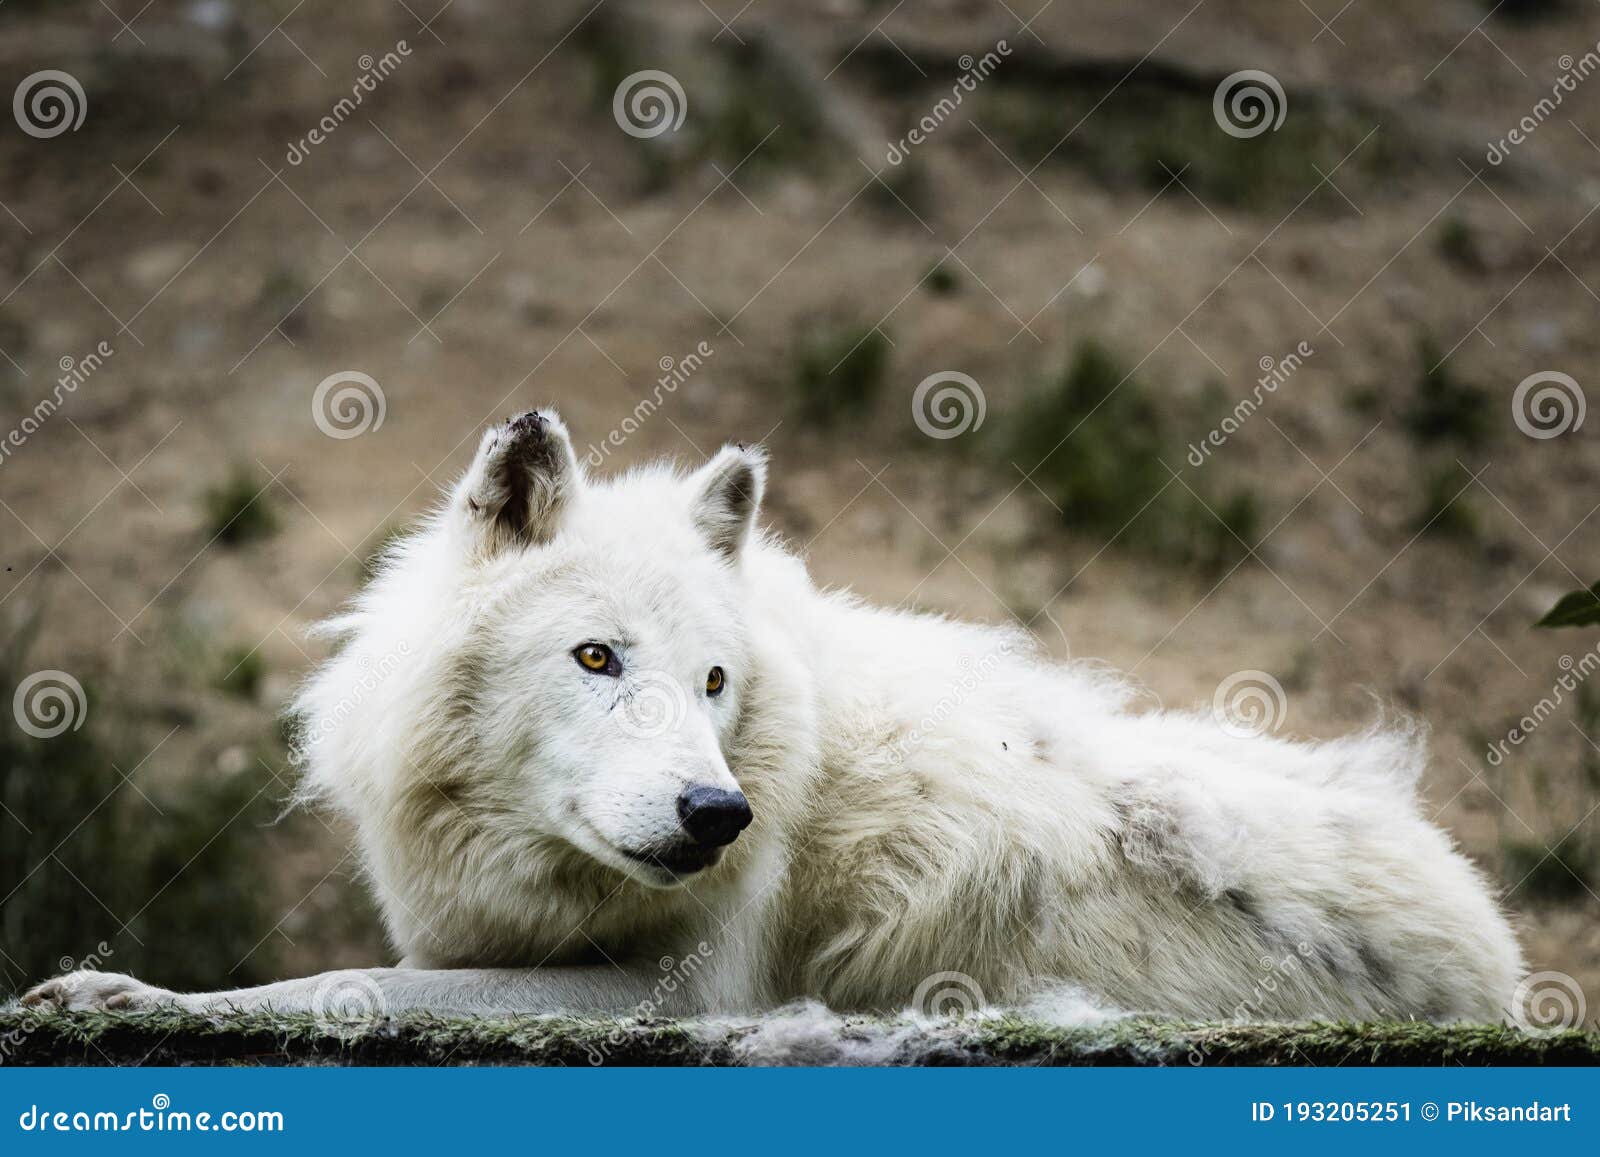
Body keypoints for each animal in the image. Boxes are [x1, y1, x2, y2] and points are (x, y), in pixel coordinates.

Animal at [26, 410, 1523, 1022]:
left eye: (713, 684)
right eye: (596, 657)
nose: (719, 813)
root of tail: (1503, 948)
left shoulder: (679, 990)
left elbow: (351, 983)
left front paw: (128, 990)